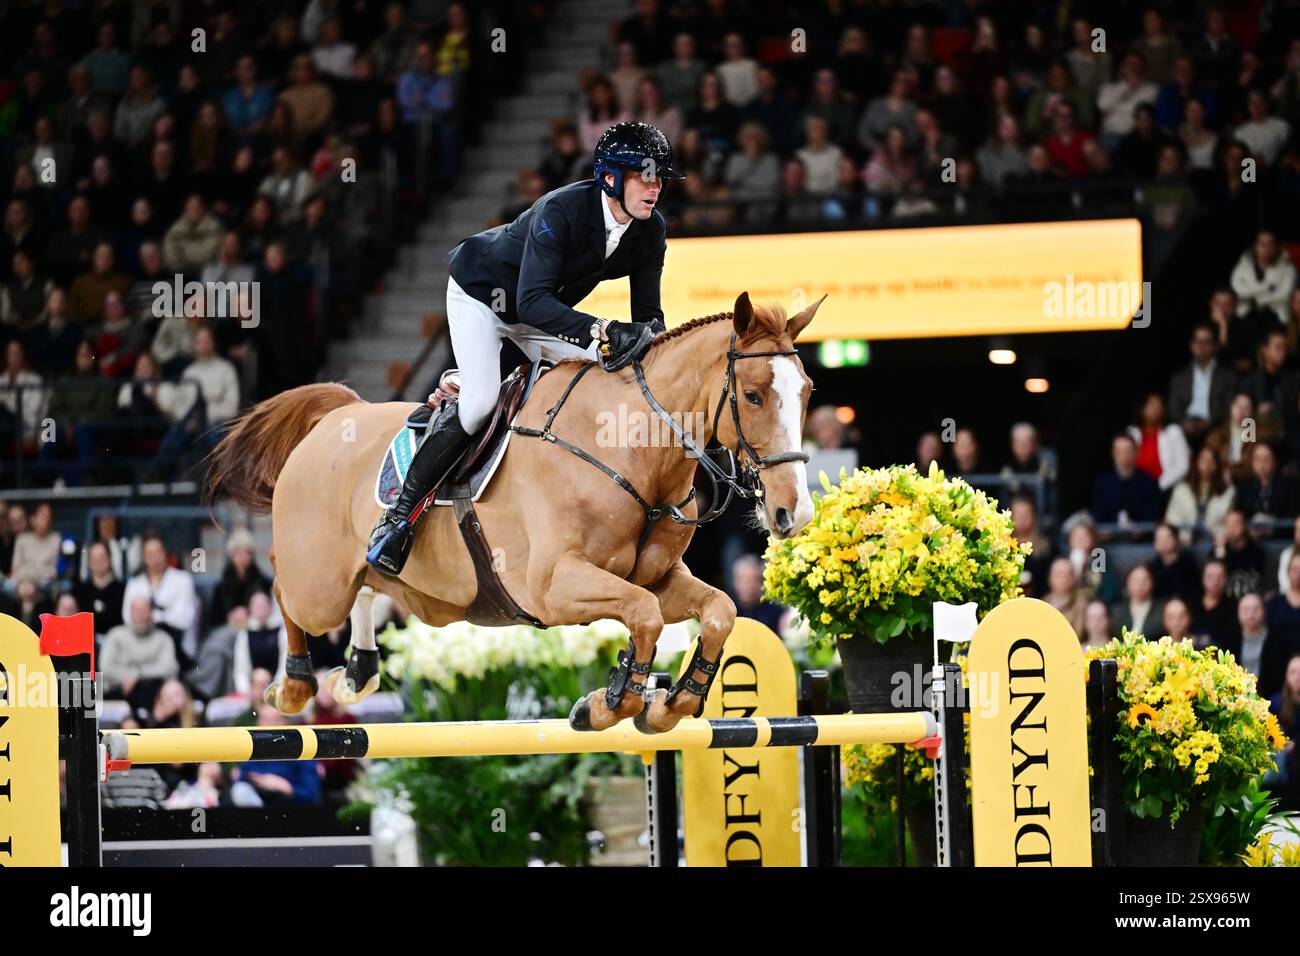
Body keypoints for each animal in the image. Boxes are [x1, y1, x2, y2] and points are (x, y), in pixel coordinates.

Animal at [205, 291, 821, 734]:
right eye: (753, 395)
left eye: (808, 391)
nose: (793, 512)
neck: (631, 451)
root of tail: (335, 419)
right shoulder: (554, 586)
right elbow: (644, 616)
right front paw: (610, 704)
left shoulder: (656, 577)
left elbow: (718, 610)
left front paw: (670, 703)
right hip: (319, 582)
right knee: (284, 589)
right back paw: (293, 687)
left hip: (417, 593)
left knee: (369, 585)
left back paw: (357, 673)